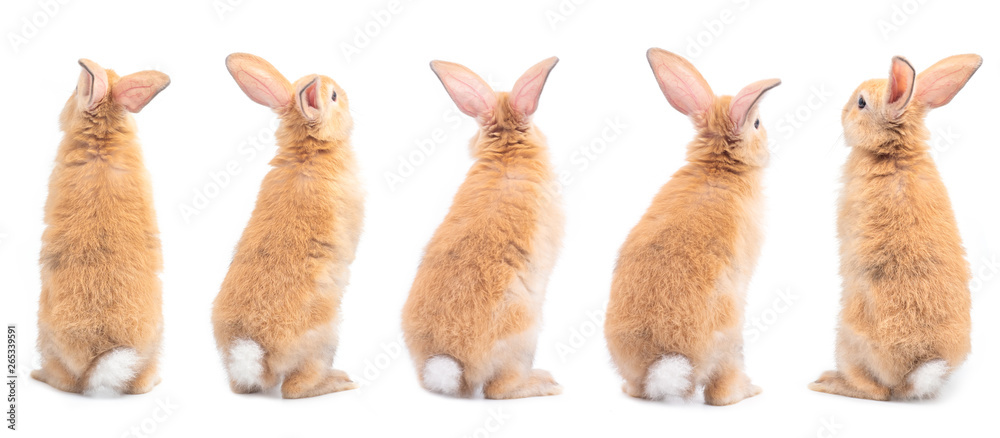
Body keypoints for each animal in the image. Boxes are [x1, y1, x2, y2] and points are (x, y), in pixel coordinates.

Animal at [211, 53, 364, 399]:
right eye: (333, 97)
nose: (347, 95)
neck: (308, 149)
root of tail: (251, 352)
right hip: (324, 340)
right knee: (295, 388)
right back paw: (339, 382)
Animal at [604, 48, 780, 406]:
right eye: (757, 123)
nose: (770, 149)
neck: (719, 165)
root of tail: (664, 364)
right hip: (730, 339)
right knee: (720, 392)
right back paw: (749, 390)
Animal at [809, 54, 982, 401]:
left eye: (861, 103)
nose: (843, 113)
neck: (892, 151)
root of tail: (919, 371)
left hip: (847, 340)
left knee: (876, 391)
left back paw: (827, 382)